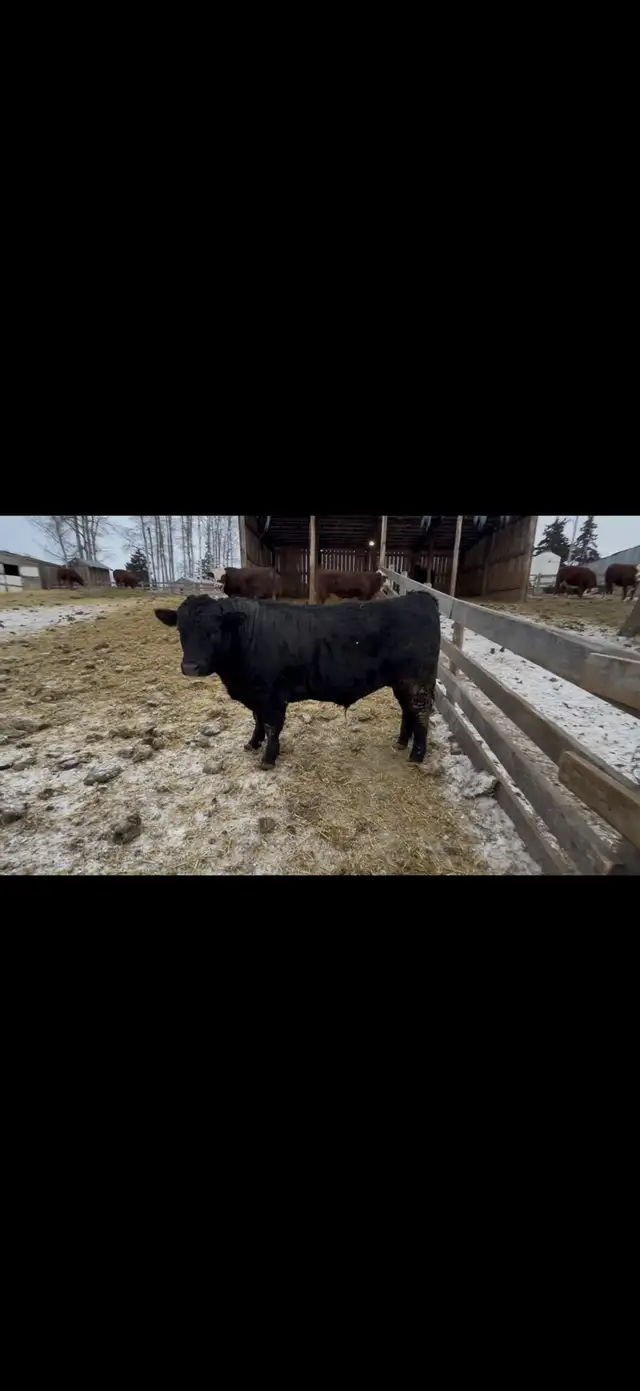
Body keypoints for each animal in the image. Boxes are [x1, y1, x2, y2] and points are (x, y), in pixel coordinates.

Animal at [154, 591, 441, 768]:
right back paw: (402, 742)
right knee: (408, 712)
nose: (190, 667)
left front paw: (268, 758)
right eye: (181, 630)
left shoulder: (271, 696)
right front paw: (252, 744)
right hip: (402, 682)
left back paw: (416, 755)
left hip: (417, 681)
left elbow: (271, 725)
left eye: (213, 631)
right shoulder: (256, 695)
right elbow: (257, 721)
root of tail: (419, 596)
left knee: (421, 713)